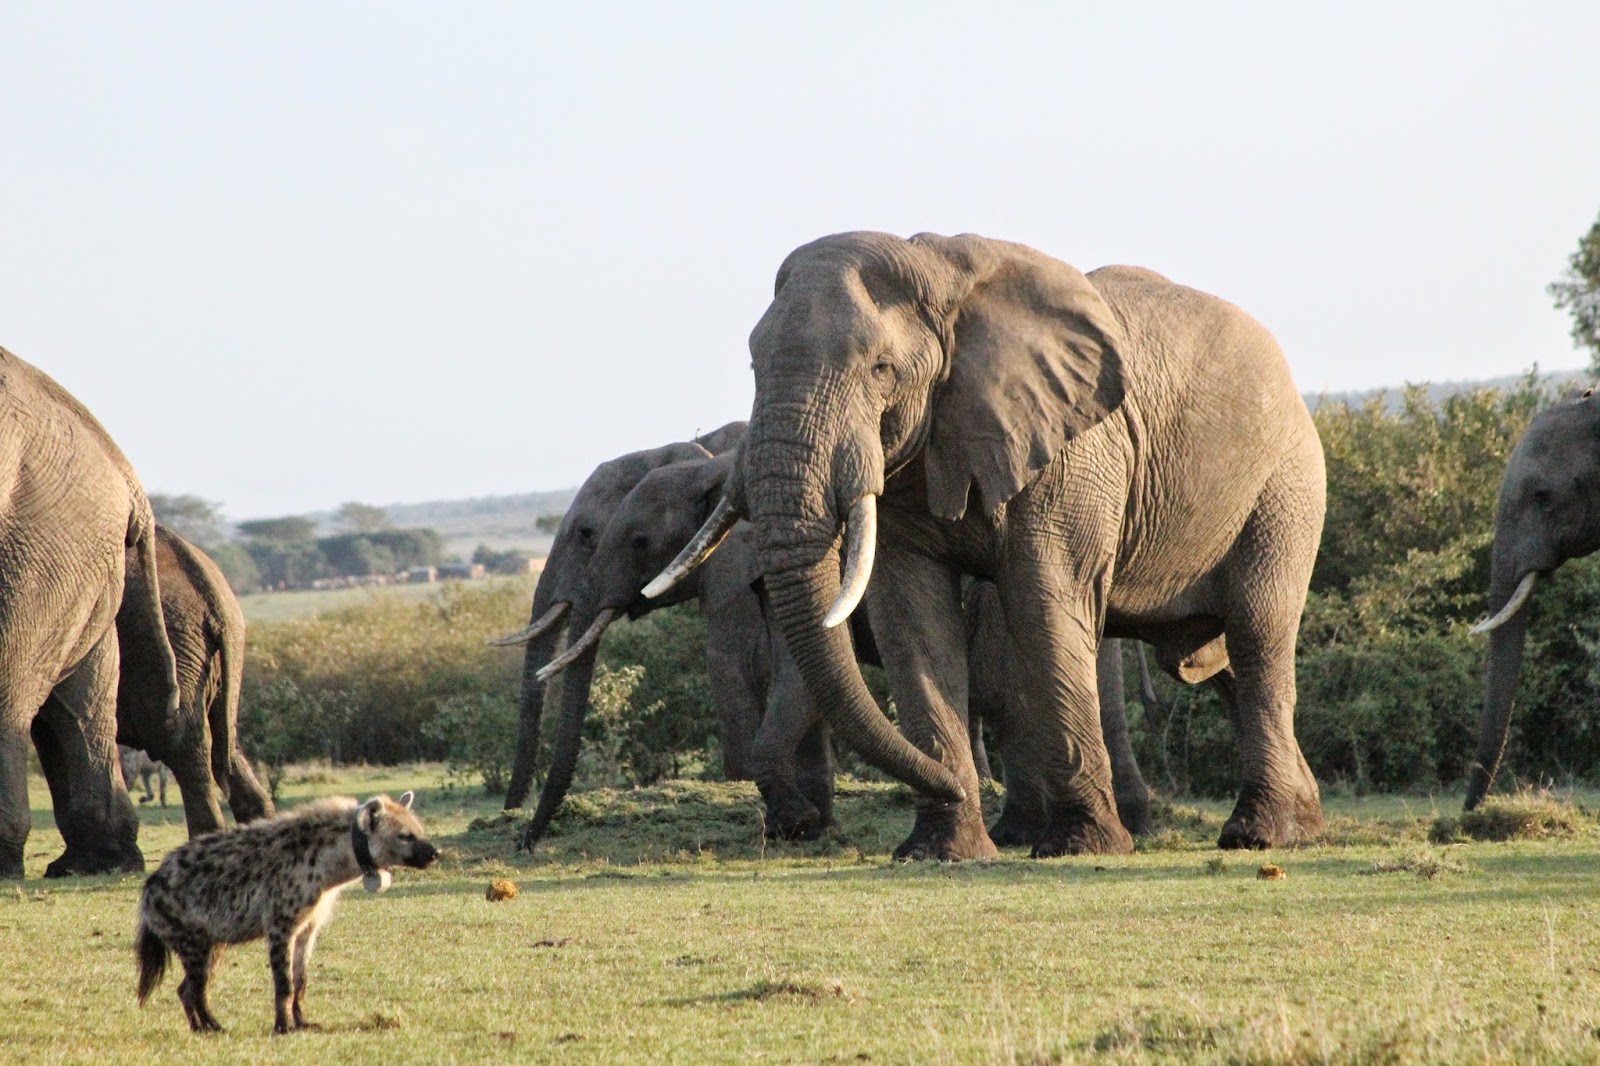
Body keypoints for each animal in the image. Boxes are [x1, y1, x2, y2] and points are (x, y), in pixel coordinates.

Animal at [649, 232, 1326, 859]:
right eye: (754, 368)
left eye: (881, 369)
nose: (954, 781)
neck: (942, 277)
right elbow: (912, 617)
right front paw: (940, 851)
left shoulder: (1072, 451)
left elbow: (1045, 604)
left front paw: (1081, 847)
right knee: (1218, 662)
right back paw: (1305, 823)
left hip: (1286, 488)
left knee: (1257, 634)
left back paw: (1257, 836)